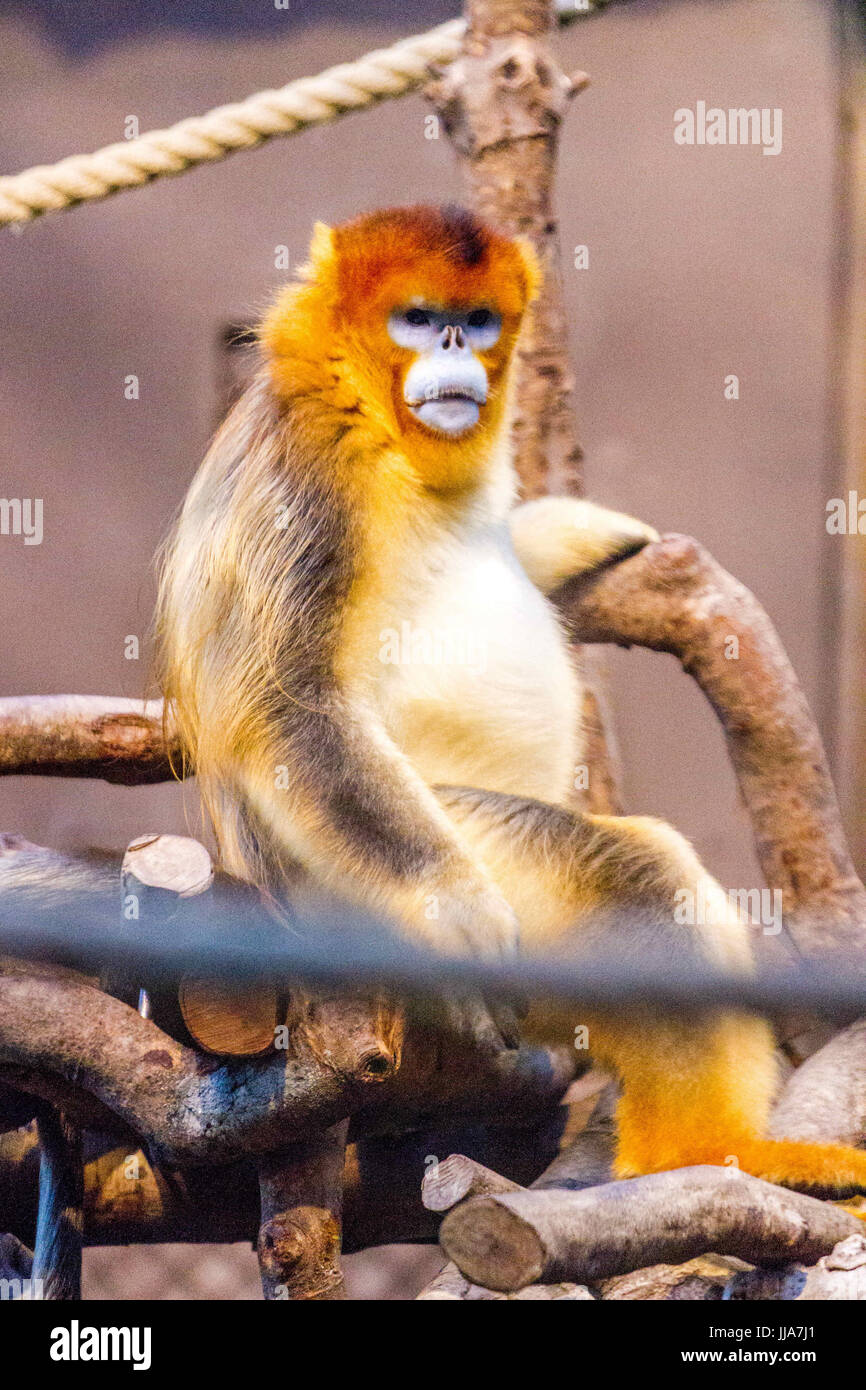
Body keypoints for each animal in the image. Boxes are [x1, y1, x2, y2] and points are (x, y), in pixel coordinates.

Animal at [156, 203, 866, 1196]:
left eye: (477, 321)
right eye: (419, 319)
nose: (457, 346)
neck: (372, 416)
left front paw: (572, 529)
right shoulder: (310, 465)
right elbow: (290, 707)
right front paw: (454, 904)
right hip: (356, 902)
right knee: (635, 872)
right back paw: (696, 1155)